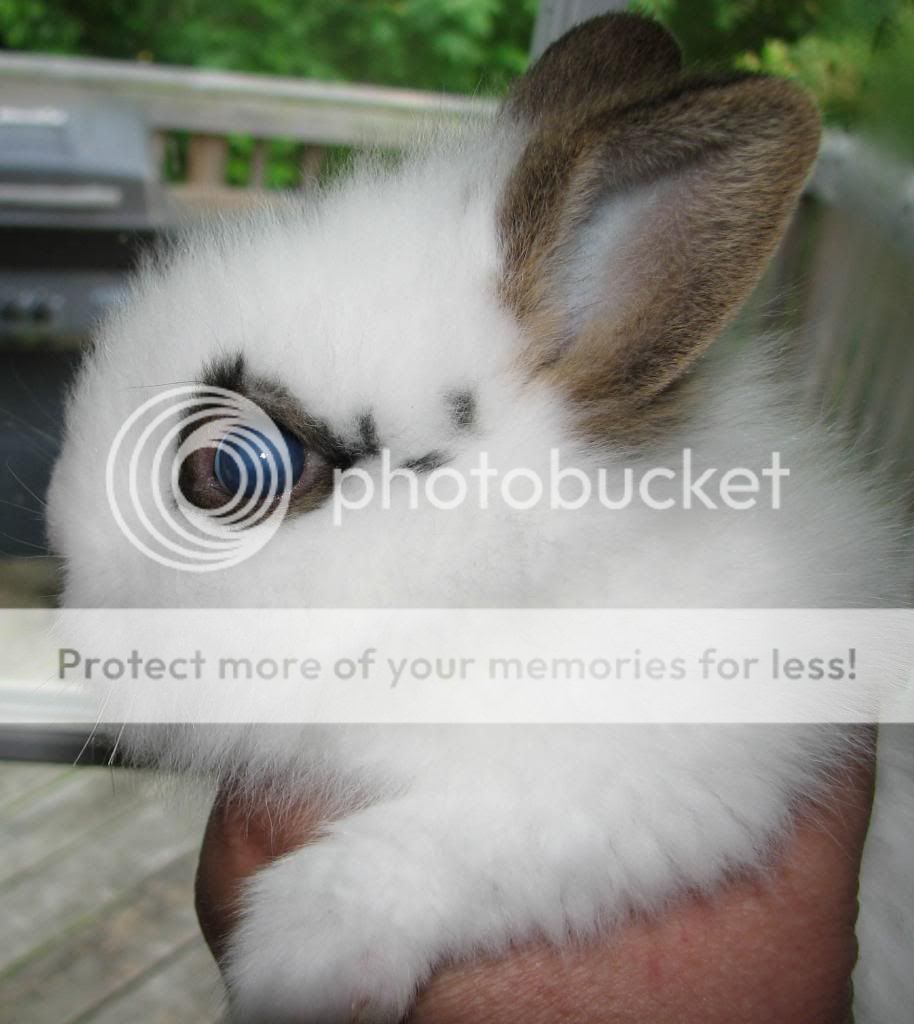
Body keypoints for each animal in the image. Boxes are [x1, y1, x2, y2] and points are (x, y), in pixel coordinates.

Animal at [46, 13, 913, 1024]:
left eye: (222, 471)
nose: (79, 628)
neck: (506, 584)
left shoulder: (668, 779)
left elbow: (464, 848)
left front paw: (300, 954)